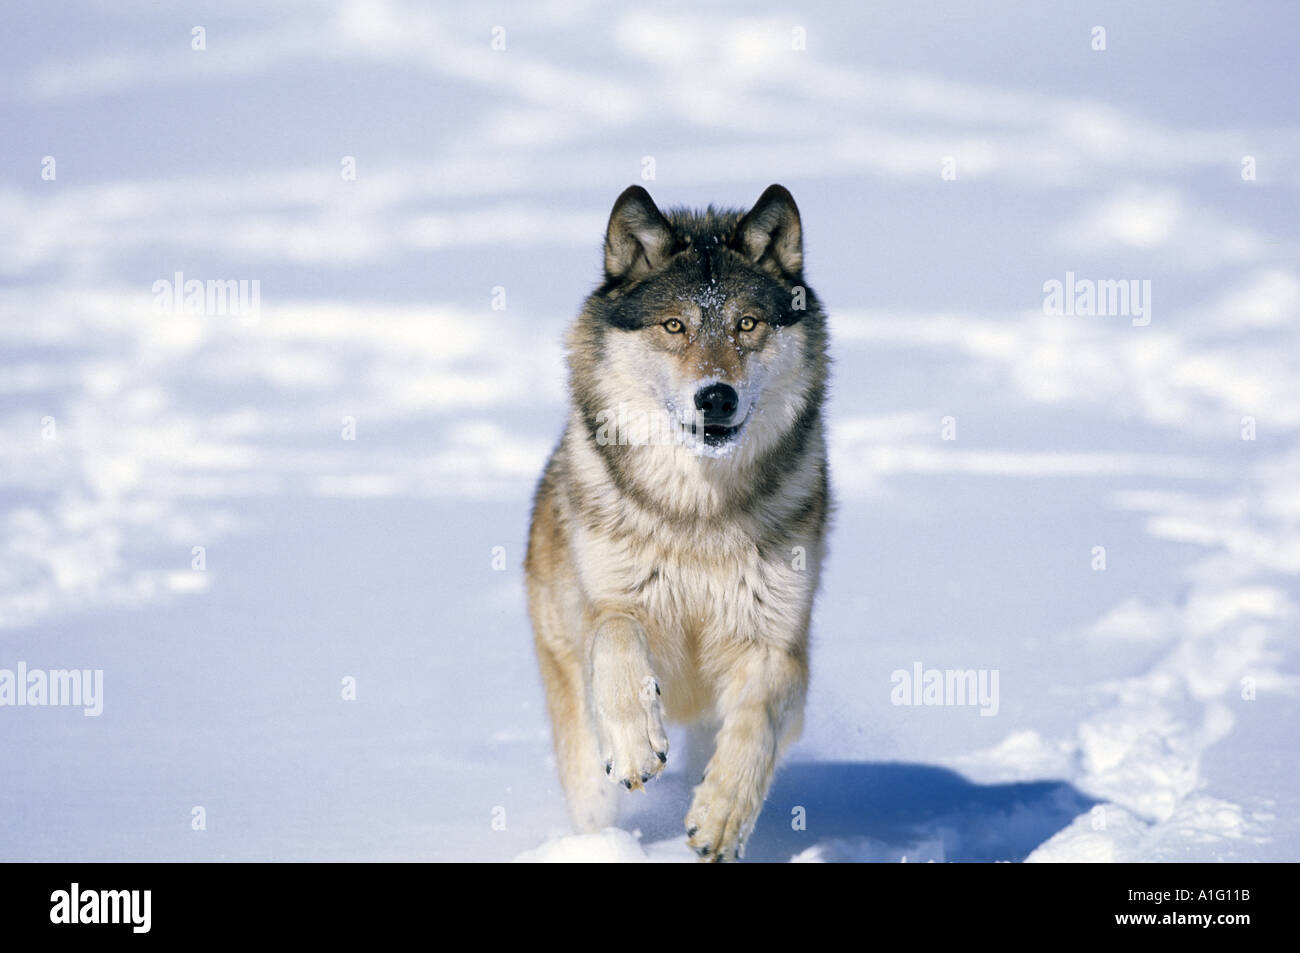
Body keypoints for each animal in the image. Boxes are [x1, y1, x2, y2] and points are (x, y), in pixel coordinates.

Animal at [525, 184, 830, 861]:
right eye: (674, 326)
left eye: (746, 324)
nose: (715, 397)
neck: (697, 516)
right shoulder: (609, 607)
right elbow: (617, 639)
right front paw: (637, 744)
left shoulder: (778, 644)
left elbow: (756, 724)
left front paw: (721, 816)